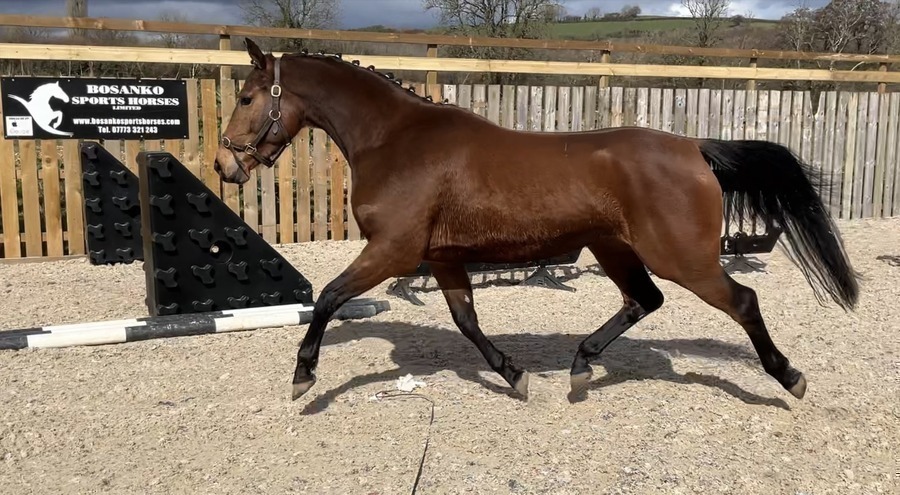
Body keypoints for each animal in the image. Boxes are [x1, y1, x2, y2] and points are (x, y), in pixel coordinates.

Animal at [214, 38, 860, 403]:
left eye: (246, 98)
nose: (225, 165)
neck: (395, 139)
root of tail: (695, 149)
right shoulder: (442, 258)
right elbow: (467, 323)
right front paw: (515, 376)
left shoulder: (393, 250)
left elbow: (327, 296)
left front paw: (303, 376)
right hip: (614, 249)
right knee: (643, 300)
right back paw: (580, 367)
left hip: (683, 258)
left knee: (741, 301)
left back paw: (789, 378)